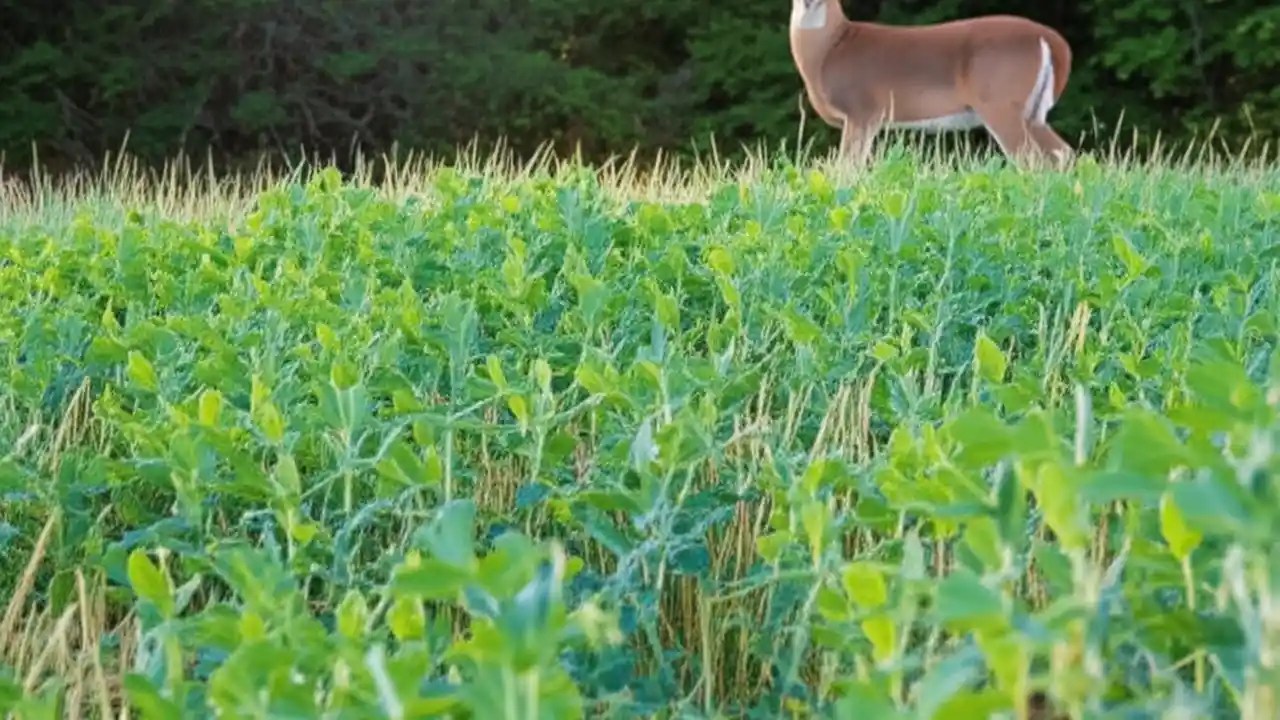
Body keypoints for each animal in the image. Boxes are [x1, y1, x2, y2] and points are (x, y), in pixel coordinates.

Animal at [788, 0, 1075, 170]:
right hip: (1032, 113)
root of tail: (1053, 41)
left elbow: (847, 168)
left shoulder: (863, 110)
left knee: (1031, 158)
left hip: (1000, 101)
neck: (828, 52)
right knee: (1062, 152)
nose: (809, 2)